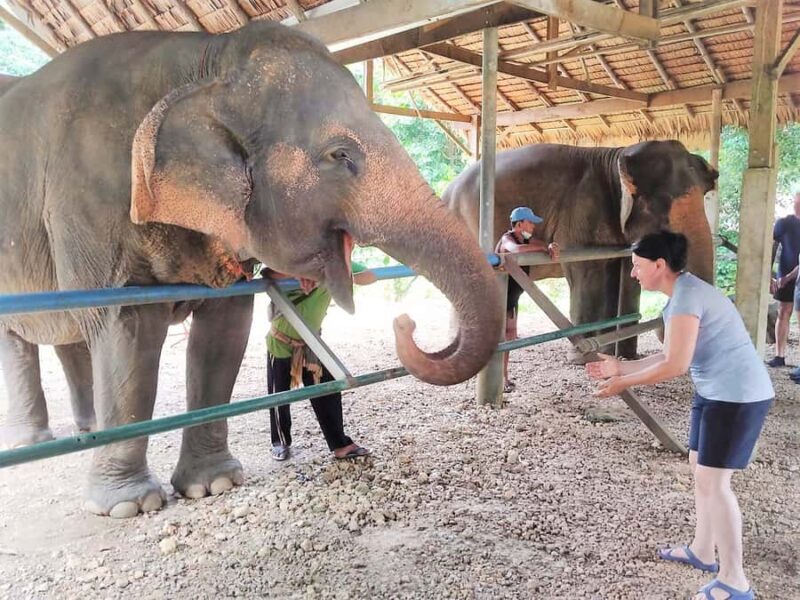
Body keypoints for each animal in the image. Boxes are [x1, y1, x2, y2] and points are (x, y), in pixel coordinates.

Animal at [0, 22, 503, 517]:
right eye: (340, 155)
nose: (405, 322)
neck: (204, 63)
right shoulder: (89, 199)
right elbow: (126, 323)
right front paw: (130, 504)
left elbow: (225, 327)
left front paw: (214, 484)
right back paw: (36, 442)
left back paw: (84, 433)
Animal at [443, 141, 718, 357]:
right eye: (659, 210)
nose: (664, 329)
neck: (617, 156)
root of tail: (447, 191)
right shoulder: (582, 210)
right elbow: (586, 270)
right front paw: (583, 357)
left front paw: (622, 356)